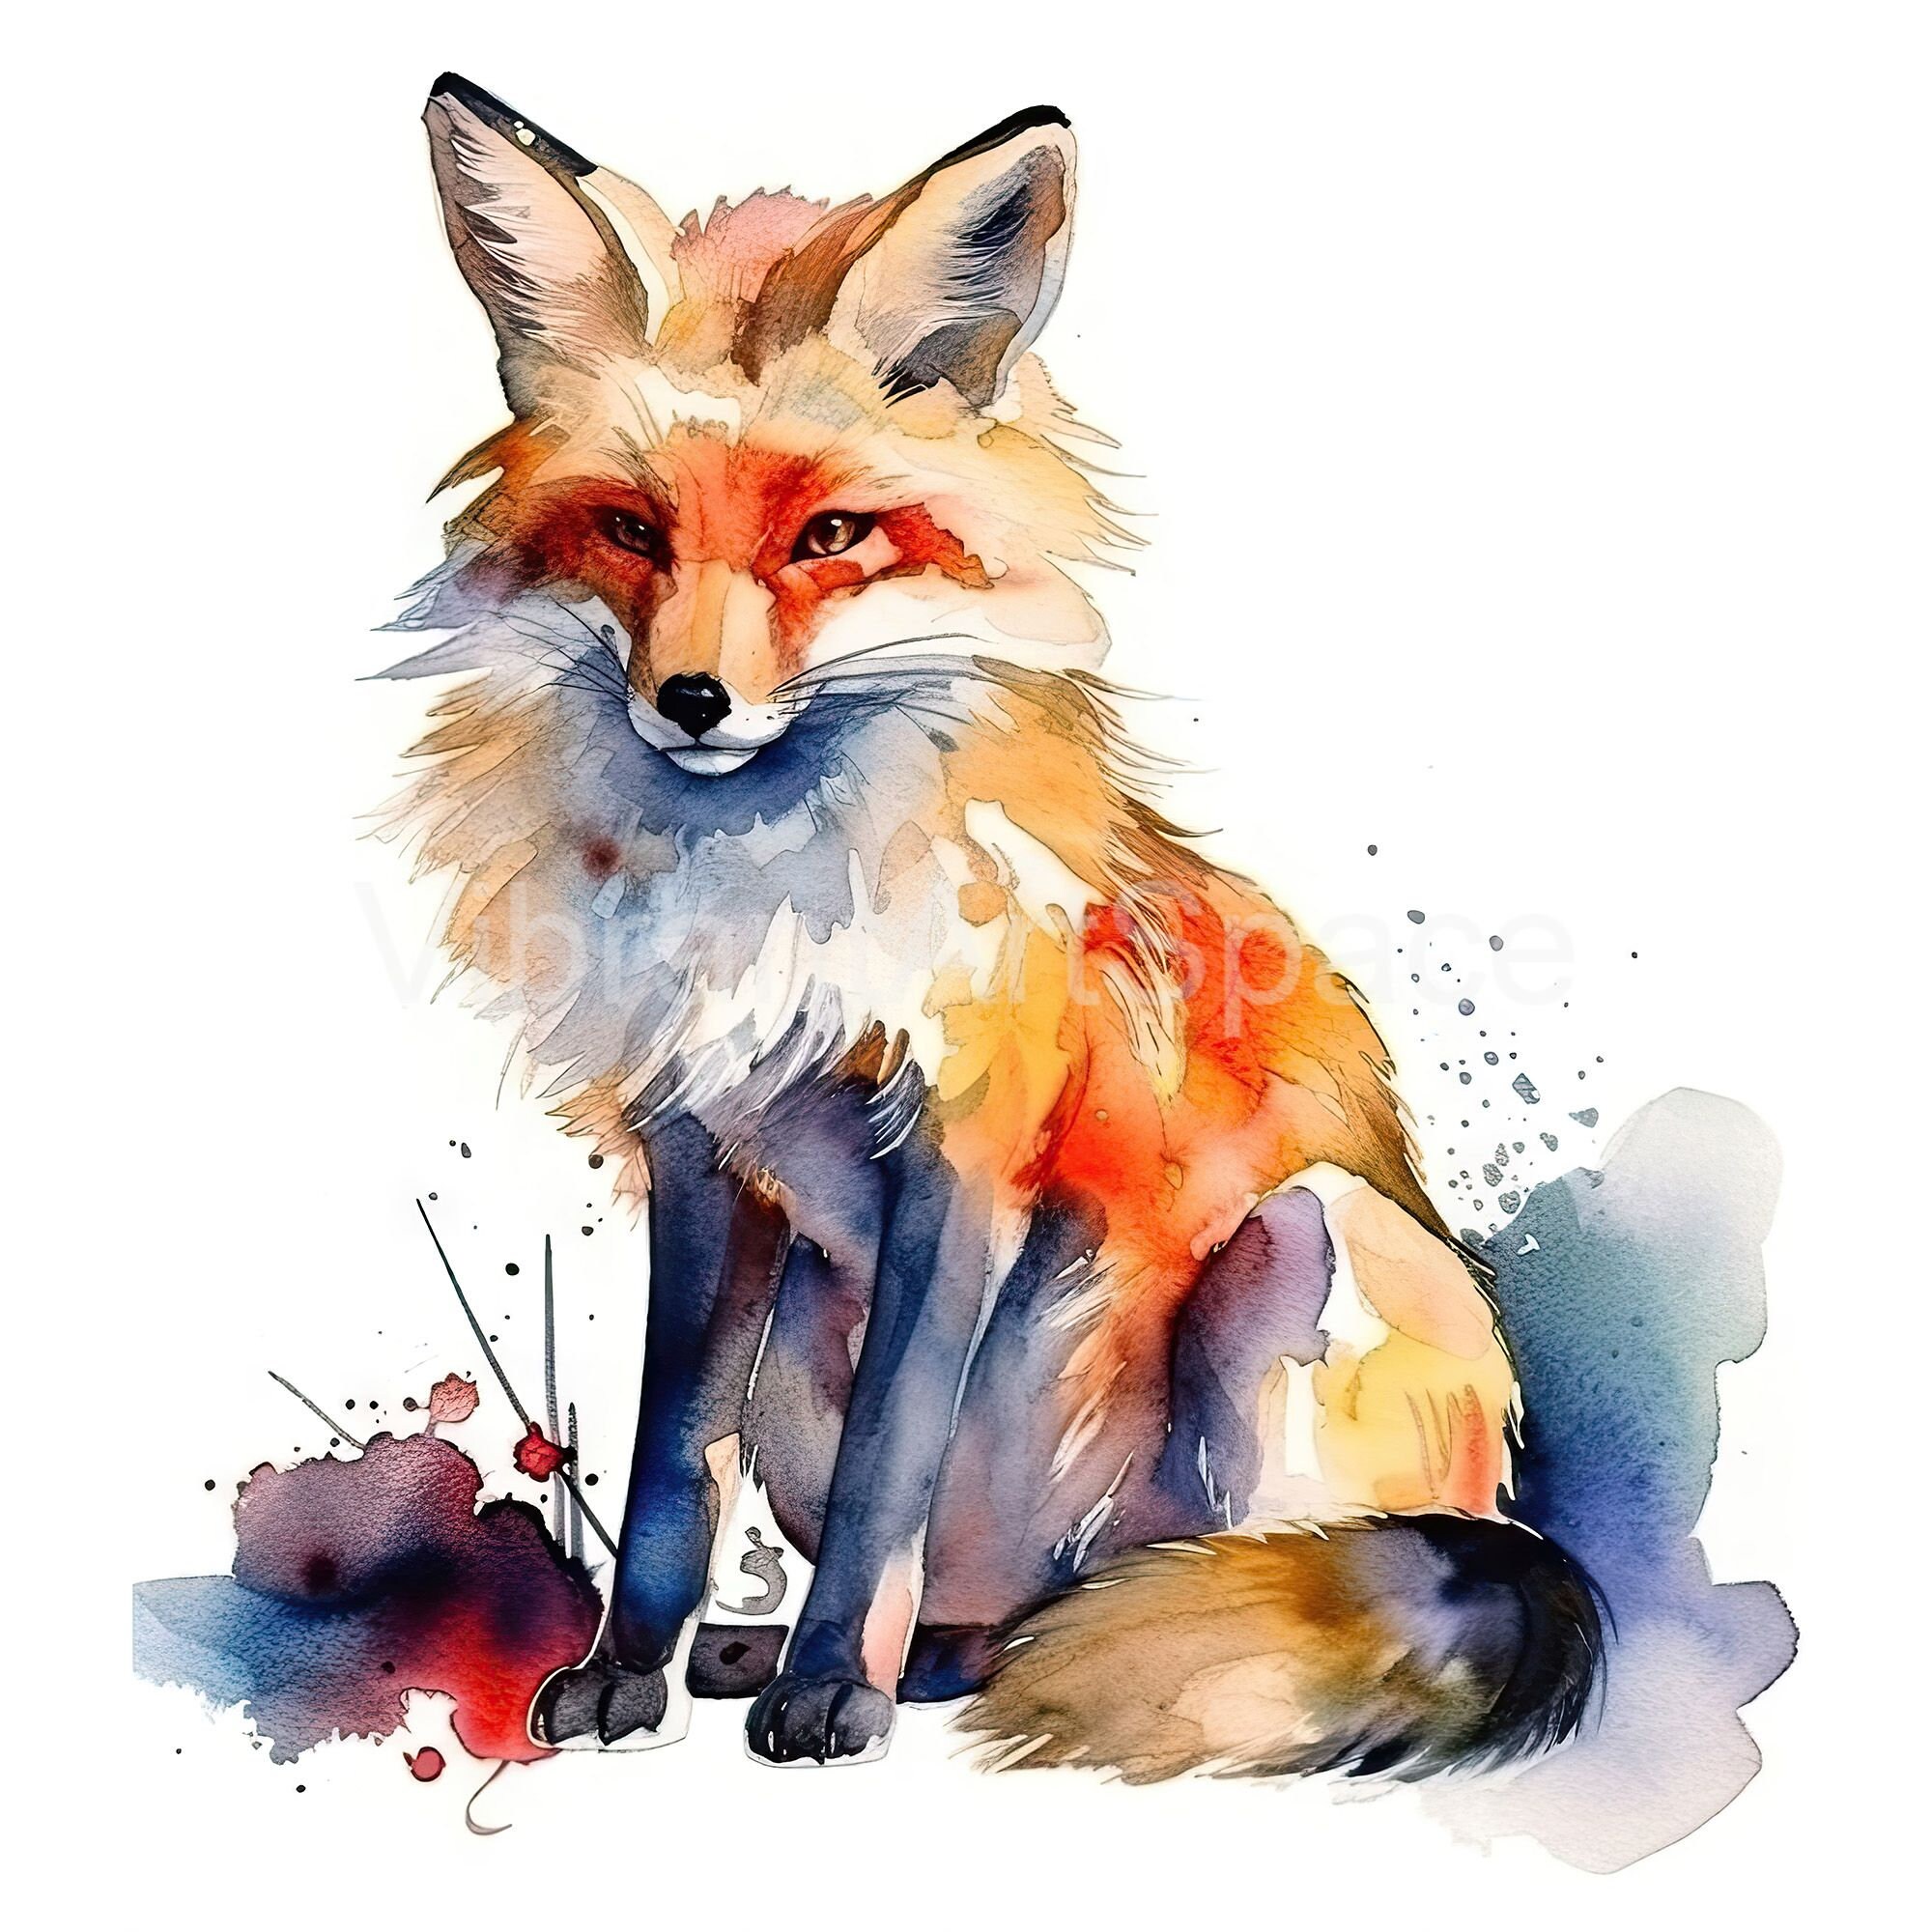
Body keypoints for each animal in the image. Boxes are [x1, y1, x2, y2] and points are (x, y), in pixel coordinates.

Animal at [383, 73, 1601, 1777]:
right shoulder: (703, 1159)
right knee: (978, 1616)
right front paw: (631, 1669)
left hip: (1307, 1256)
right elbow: (672, 1464)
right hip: (806, 1359)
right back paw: (865, 1656)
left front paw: (836, 1686)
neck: (764, 897)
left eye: (831, 538)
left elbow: (891, 1470)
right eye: (630, 531)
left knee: (1284, 1593)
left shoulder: (964, 1151)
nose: (691, 701)